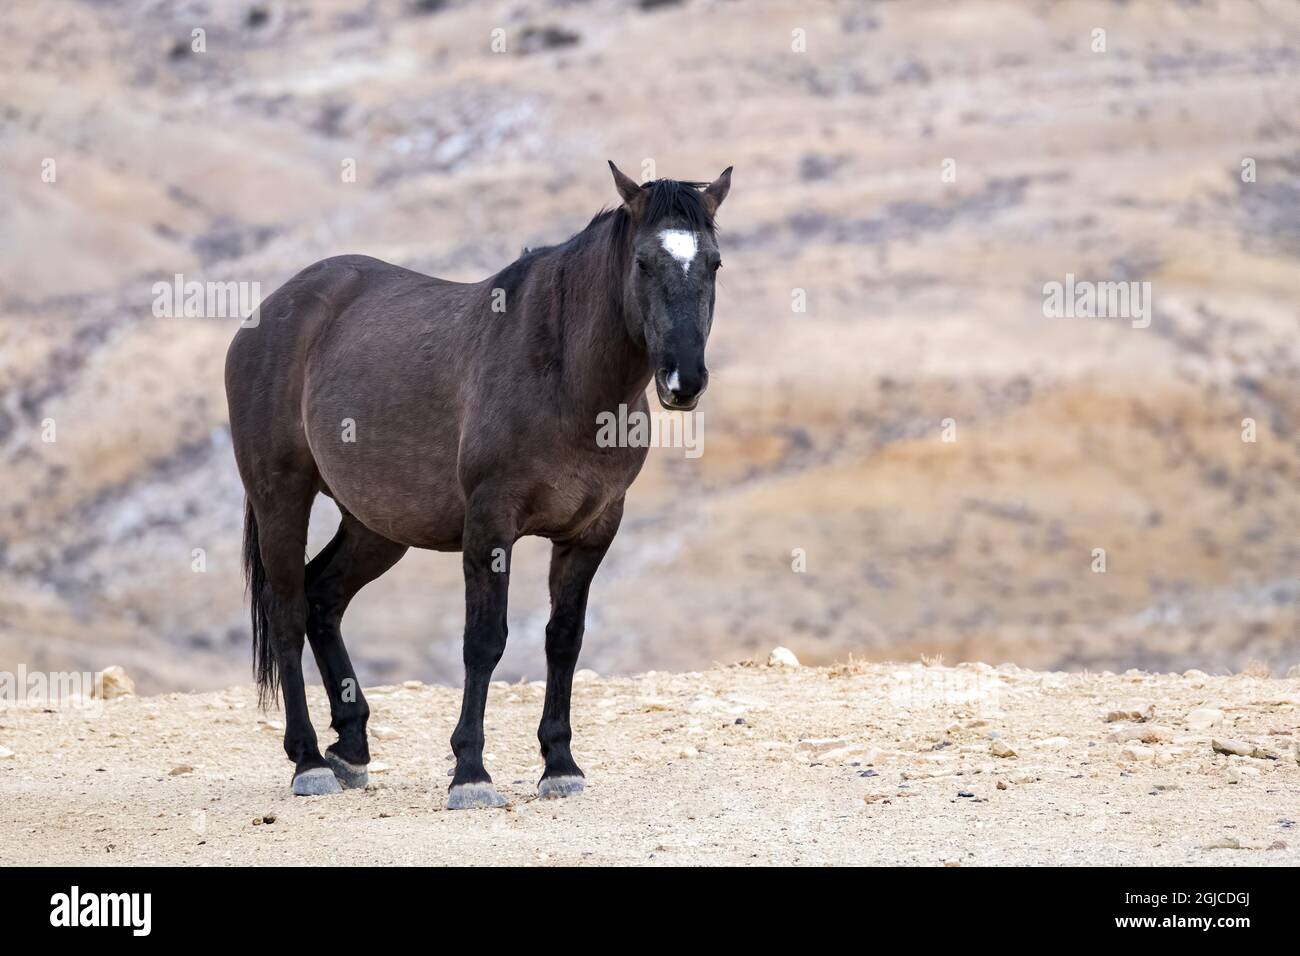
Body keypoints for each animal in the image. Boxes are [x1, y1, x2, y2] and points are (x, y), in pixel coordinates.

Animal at [224, 162, 732, 807]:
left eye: (713, 263)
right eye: (643, 262)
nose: (683, 380)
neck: (563, 375)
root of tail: (273, 310)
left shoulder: (592, 531)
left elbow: (564, 639)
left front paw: (560, 765)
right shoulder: (491, 524)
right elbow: (485, 640)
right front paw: (470, 771)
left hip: (375, 527)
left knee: (323, 598)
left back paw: (352, 748)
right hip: (280, 498)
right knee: (288, 610)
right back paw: (310, 761)